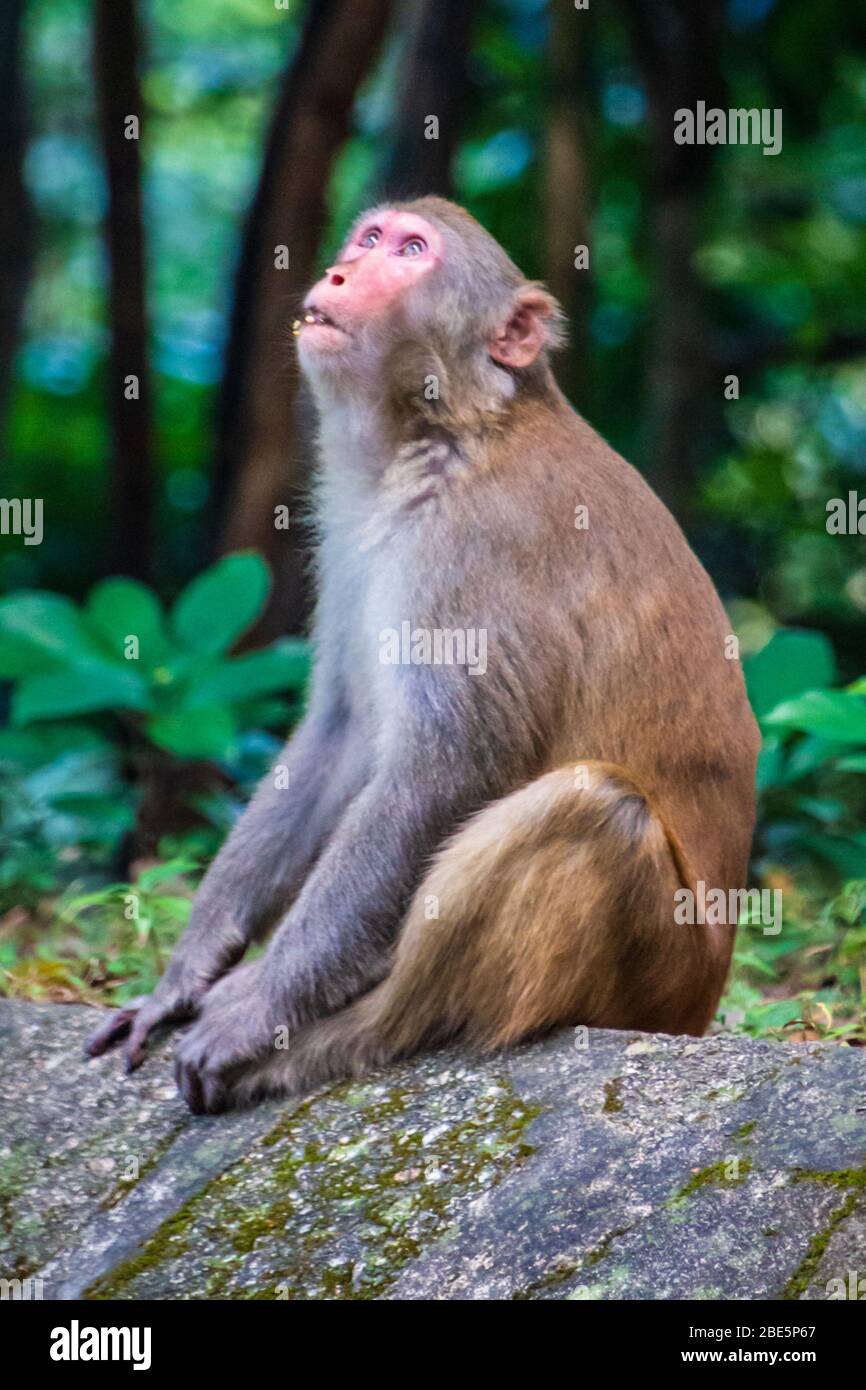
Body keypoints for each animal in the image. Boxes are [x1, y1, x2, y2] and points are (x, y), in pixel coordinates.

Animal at [87, 197, 760, 1114]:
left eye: (411, 252)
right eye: (369, 239)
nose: (340, 273)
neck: (437, 433)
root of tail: (701, 1003)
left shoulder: (476, 549)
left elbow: (444, 770)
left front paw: (258, 1013)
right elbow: (338, 733)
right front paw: (183, 978)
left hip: (658, 973)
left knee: (594, 808)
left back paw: (342, 1037)